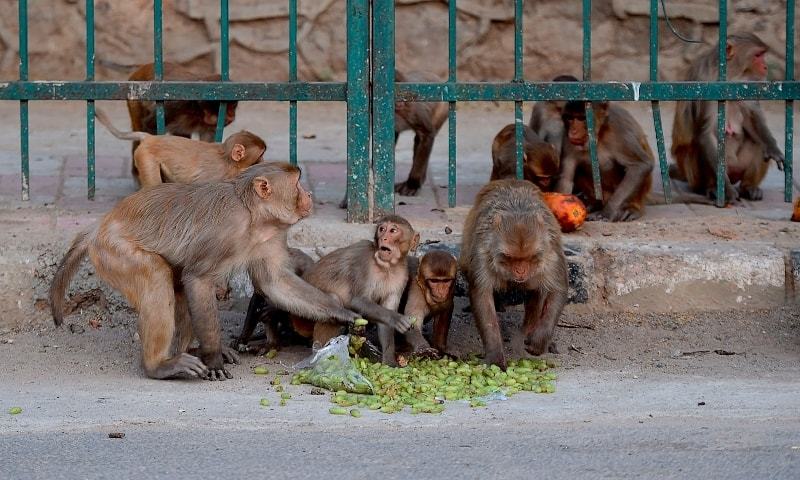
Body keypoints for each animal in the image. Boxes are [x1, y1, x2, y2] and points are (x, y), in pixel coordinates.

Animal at [96, 108, 265, 187]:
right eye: (259, 157)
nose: (264, 162)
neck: (227, 160)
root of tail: (149, 137)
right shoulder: (219, 175)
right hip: (145, 158)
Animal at [299, 215, 419, 366]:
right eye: (382, 229)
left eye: (393, 230)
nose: (384, 238)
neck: (388, 266)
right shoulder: (363, 260)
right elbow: (358, 301)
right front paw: (395, 318)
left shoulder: (402, 275)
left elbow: (385, 321)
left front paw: (389, 361)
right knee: (334, 300)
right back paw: (320, 355)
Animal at [460, 179, 568, 369]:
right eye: (509, 257)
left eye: (529, 257)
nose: (520, 270)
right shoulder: (483, 253)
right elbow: (482, 296)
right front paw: (495, 355)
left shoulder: (550, 255)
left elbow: (558, 290)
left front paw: (539, 340)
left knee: (536, 292)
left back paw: (528, 330)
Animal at [670, 32, 784, 204]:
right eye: (758, 55)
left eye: (763, 55)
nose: (766, 67)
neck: (730, 77)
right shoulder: (705, 83)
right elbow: (705, 134)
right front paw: (727, 191)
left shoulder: (746, 84)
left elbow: (752, 117)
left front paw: (773, 148)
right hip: (695, 177)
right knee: (698, 146)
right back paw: (713, 188)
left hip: (738, 168)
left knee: (758, 142)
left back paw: (749, 187)